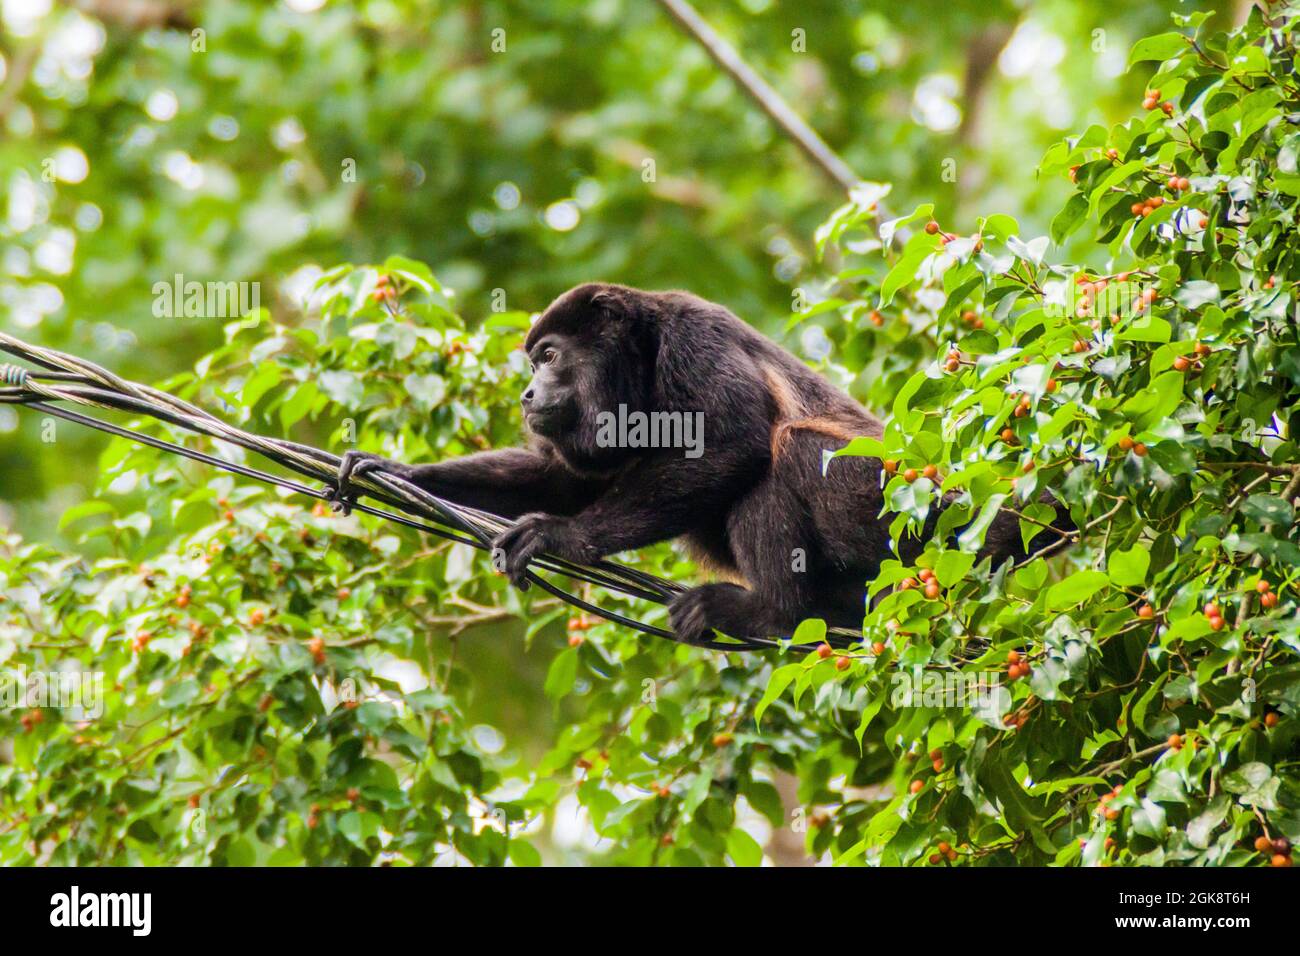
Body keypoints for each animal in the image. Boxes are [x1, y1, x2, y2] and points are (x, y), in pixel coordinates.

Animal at [330, 283, 1072, 644]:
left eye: (549, 356)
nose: (526, 393)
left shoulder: (694, 335)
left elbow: (736, 441)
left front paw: (558, 536)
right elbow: (564, 478)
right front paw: (393, 472)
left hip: (909, 513)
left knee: (784, 453)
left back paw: (772, 614)